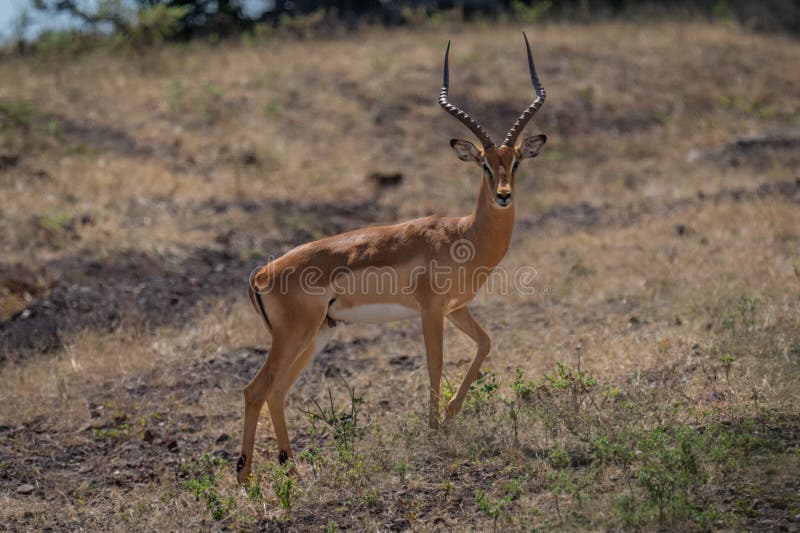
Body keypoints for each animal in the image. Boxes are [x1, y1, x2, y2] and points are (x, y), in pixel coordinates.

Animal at [237, 34, 547, 483]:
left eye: (516, 162)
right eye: (485, 165)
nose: (504, 195)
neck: (463, 234)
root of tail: (261, 273)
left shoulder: (457, 308)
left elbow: (485, 344)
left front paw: (449, 417)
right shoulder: (431, 310)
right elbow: (435, 363)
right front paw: (435, 429)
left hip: (318, 334)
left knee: (277, 390)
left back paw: (290, 469)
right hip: (293, 336)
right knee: (255, 389)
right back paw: (246, 479)